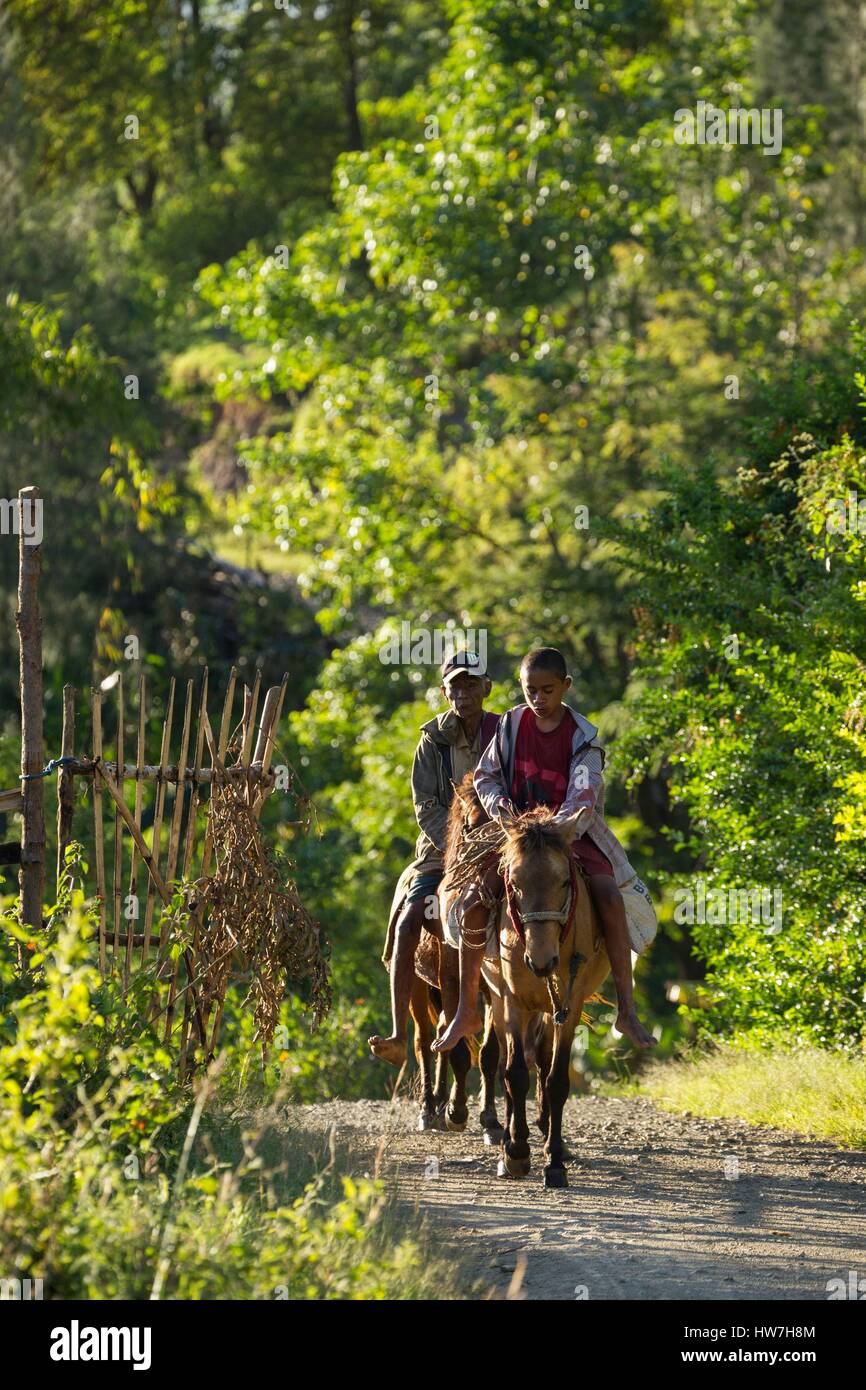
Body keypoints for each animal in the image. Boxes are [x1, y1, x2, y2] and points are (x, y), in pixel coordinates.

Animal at [481, 808, 609, 1189]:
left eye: (565, 882)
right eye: (514, 884)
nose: (541, 961)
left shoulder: (569, 1004)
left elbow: (556, 1080)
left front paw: (554, 1161)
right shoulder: (512, 1001)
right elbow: (514, 1074)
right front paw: (516, 1151)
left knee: (541, 1060)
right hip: (498, 1001)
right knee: (504, 1063)